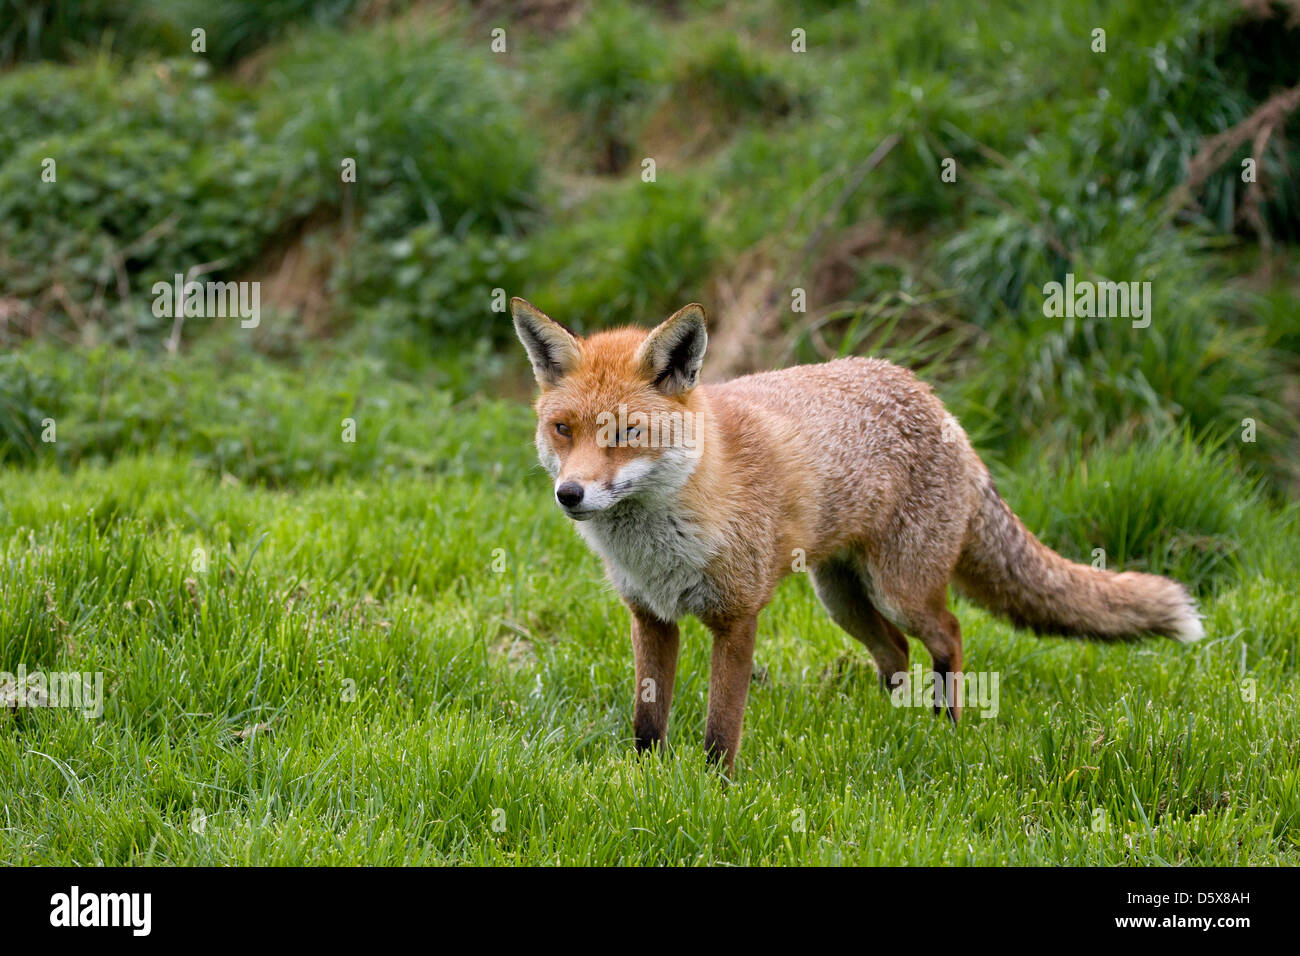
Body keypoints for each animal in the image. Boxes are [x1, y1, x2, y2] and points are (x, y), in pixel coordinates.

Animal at [511, 296, 1203, 772]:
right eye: (563, 429)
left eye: (627, 434)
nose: (569, 494)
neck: (660, 539)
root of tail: (935, 400)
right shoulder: (651, 616)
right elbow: (647, 723)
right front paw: (646, 784)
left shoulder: (736, 617)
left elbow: (720, 729)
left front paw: (713, 790)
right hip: (840, 597)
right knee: (894, 652)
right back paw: (894, 729)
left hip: (900, 590)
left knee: (948, 634)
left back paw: (945, 730)